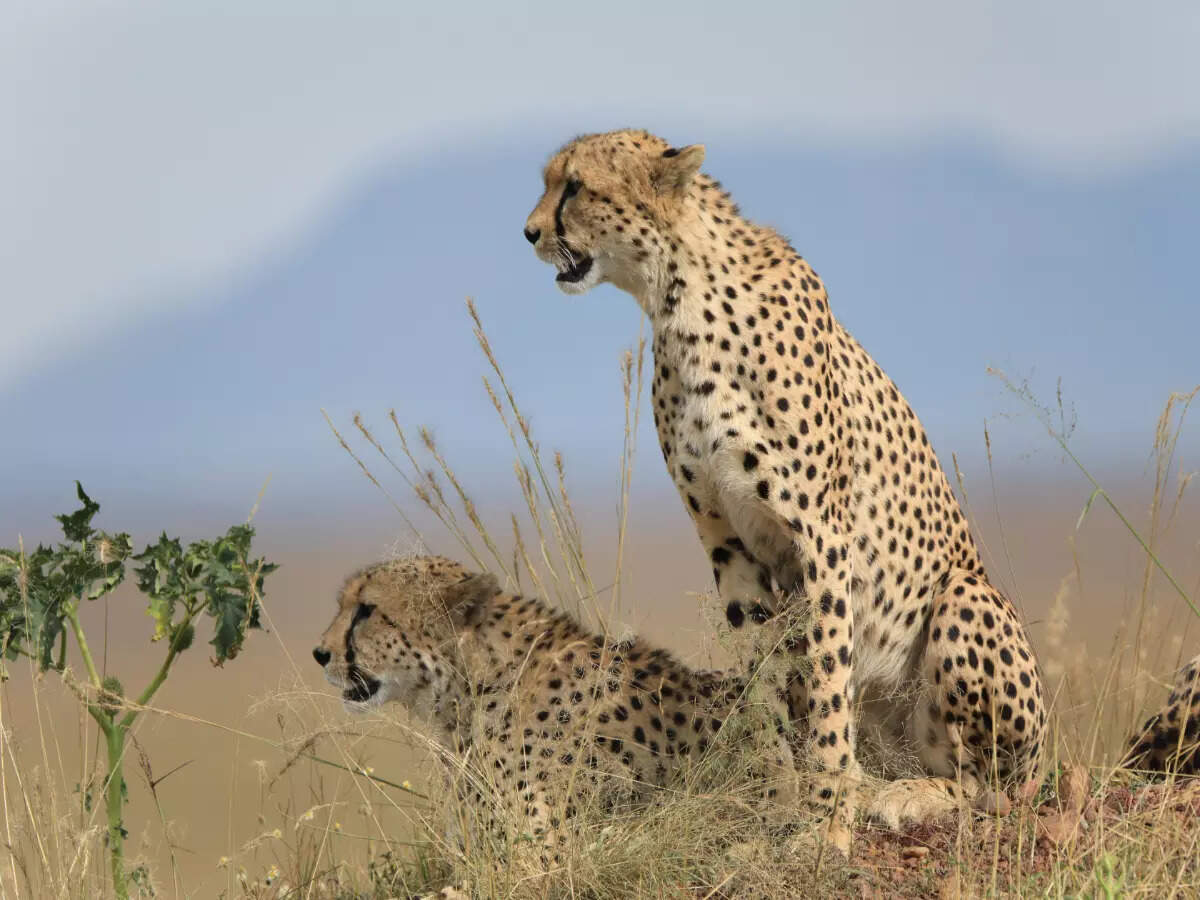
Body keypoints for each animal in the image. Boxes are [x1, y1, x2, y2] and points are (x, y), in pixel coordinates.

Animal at [523, 129, 1047, 851]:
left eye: (575, 186)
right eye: (550, 183)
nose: (529, 232)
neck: (679, 298)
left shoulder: (823, 539)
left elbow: (827, 689)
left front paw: (826, 823)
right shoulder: (728, 544)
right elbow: (765, 686)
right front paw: (779, 804)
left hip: (965, 602)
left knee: (986, 785)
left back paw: (908, 795)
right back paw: (873, 787)